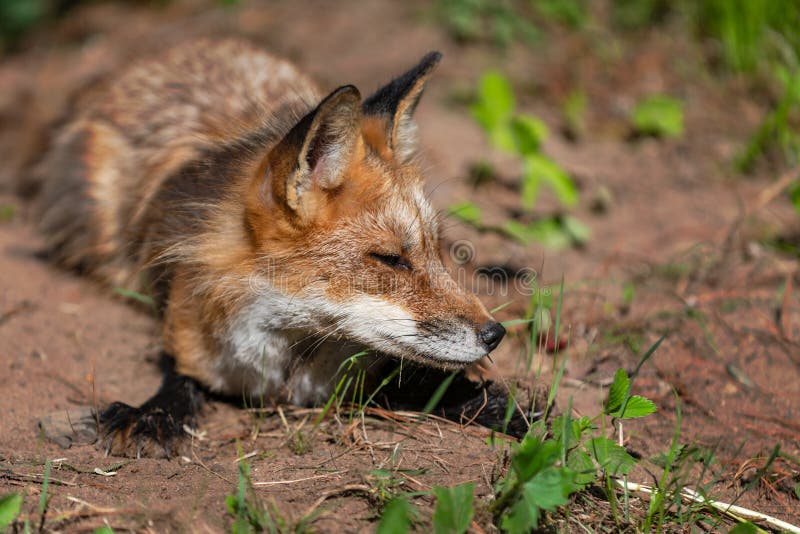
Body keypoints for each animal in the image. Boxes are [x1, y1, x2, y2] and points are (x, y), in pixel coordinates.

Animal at [31, 39, 530, 457]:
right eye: (390, 259)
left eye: (436, 250)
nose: (495, 335)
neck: (288, 364)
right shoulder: (191, 339)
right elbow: (179, 379)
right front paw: (152, 414)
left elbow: (462, 396)